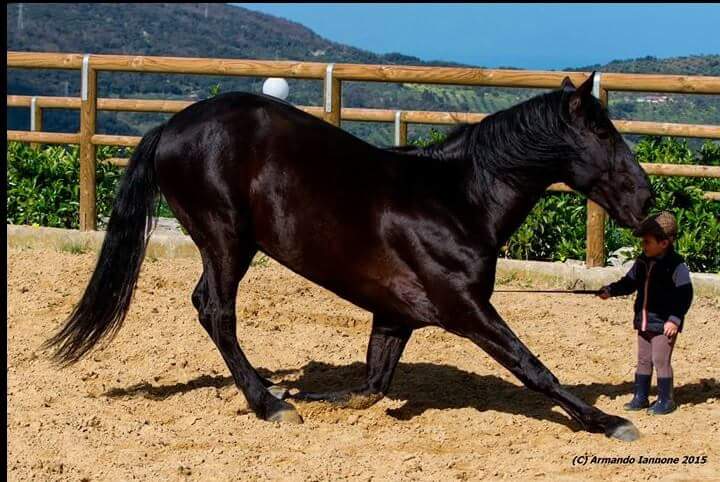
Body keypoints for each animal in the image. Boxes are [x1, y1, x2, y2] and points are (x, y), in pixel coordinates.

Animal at [44, 72, 653, 441]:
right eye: (602, 132)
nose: (647, 199)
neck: (460, 200)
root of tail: (170, 126)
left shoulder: (395, 316)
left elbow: (370, 386)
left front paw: (312, 391)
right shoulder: (465, 307)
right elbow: (533, 368)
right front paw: (607, 421)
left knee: (208, 307)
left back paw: (276, 390)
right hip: (226, 237)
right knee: (215, 311)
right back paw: (268, 403)